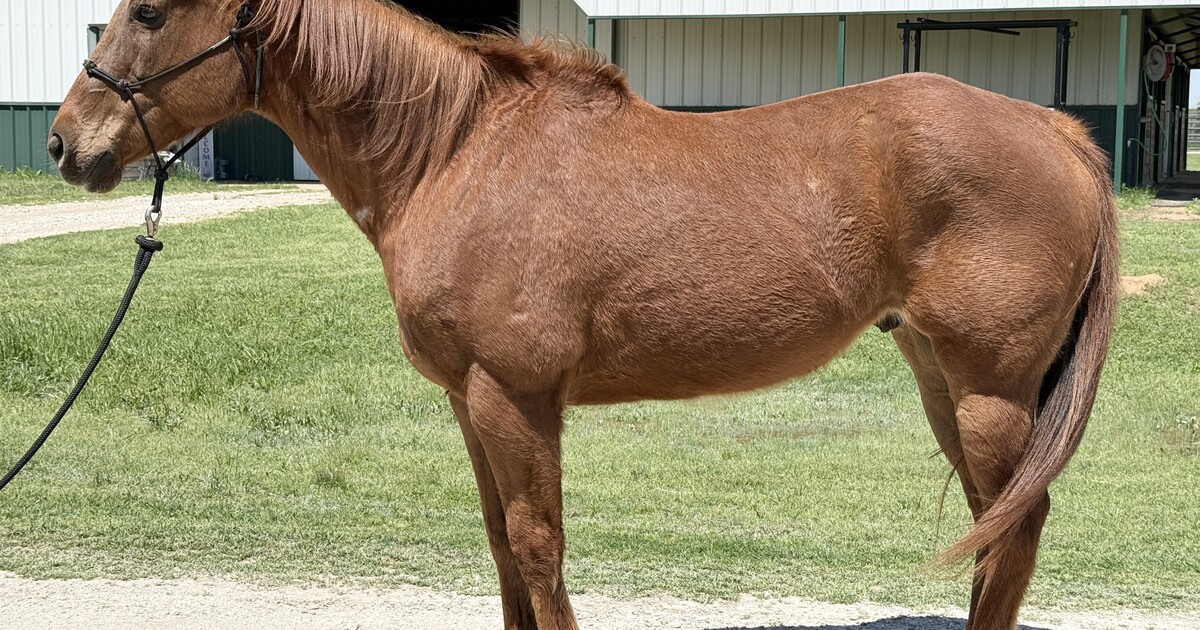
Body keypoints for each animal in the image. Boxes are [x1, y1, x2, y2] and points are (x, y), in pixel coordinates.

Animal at [49, 1, 1118, 628]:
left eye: (148, 10)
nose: (65, 143)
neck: (458, 153)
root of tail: (1054, 127)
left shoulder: (515, 398)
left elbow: (539, 550)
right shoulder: (469, 403)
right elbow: (502, 551)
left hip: (989, 390)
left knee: (1014, 532)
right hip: (941, 377)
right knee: (995, 530)